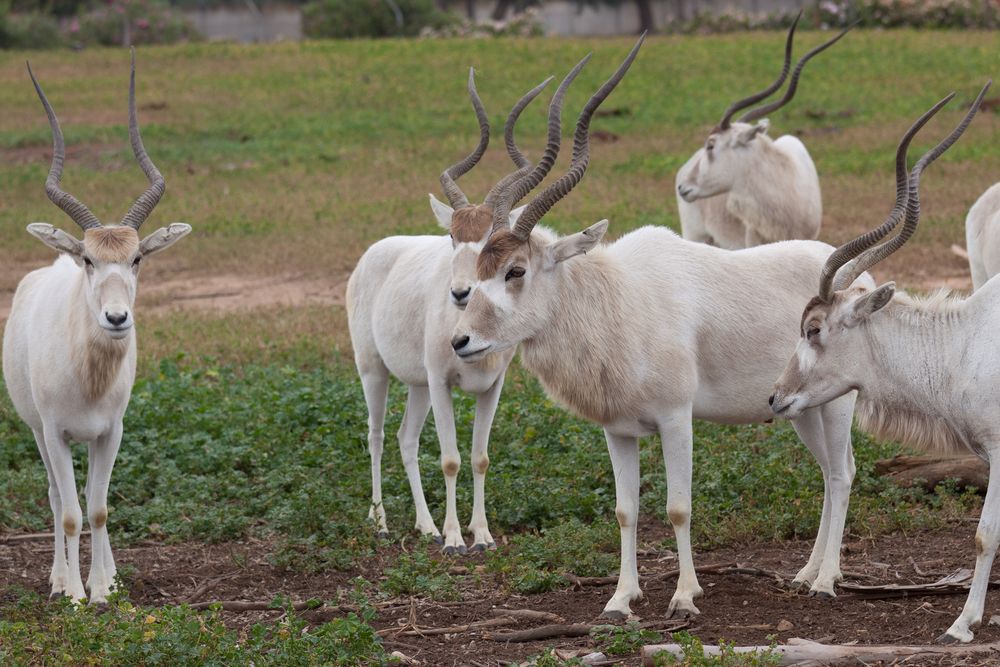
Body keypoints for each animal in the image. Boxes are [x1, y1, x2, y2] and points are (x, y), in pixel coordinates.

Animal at [4, 51, 191, 604]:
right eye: (88, 258)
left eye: (136, 259)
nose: (116, 318)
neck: (86, 370)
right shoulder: (56, 433)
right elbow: (68, 512)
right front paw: (73, 594)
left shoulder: (111, 431)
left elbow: (99, 506)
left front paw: (105, 589)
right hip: (38, 434)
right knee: (54, 496)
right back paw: (59, 579)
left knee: (88, 498)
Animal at [346, 59, 585, 553]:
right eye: (454, 237)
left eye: (493, 241)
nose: (459, 292)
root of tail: (374, 252)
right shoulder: (442, 382)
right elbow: (451, 459)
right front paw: (456, 539)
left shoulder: (490, 387)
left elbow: (479, 458)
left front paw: (483, 534)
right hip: (373, 370)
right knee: (376, 436)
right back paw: (381, 523)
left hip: (416, 384)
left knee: (406, 438)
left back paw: (425, 525)